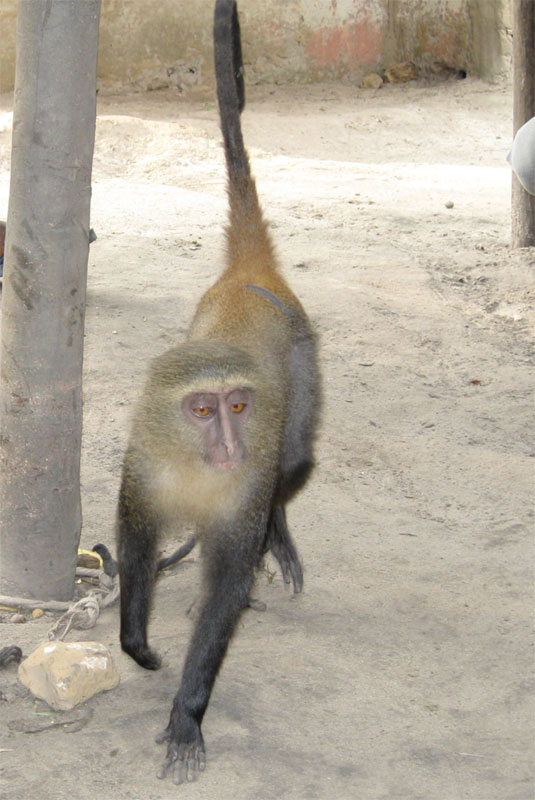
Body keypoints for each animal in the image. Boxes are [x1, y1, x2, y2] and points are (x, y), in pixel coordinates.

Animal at [117, 0, 320, 785]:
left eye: (237, 406)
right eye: (201, 410)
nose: (231, 442)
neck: (199, 468)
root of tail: (246, 278)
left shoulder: (244, 480)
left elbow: (224, 592)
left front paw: (186, 715)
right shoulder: (143, 460)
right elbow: (136, 539)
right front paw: (136, 642)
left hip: (302, 362)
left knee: (293, 464)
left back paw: (278, 533)